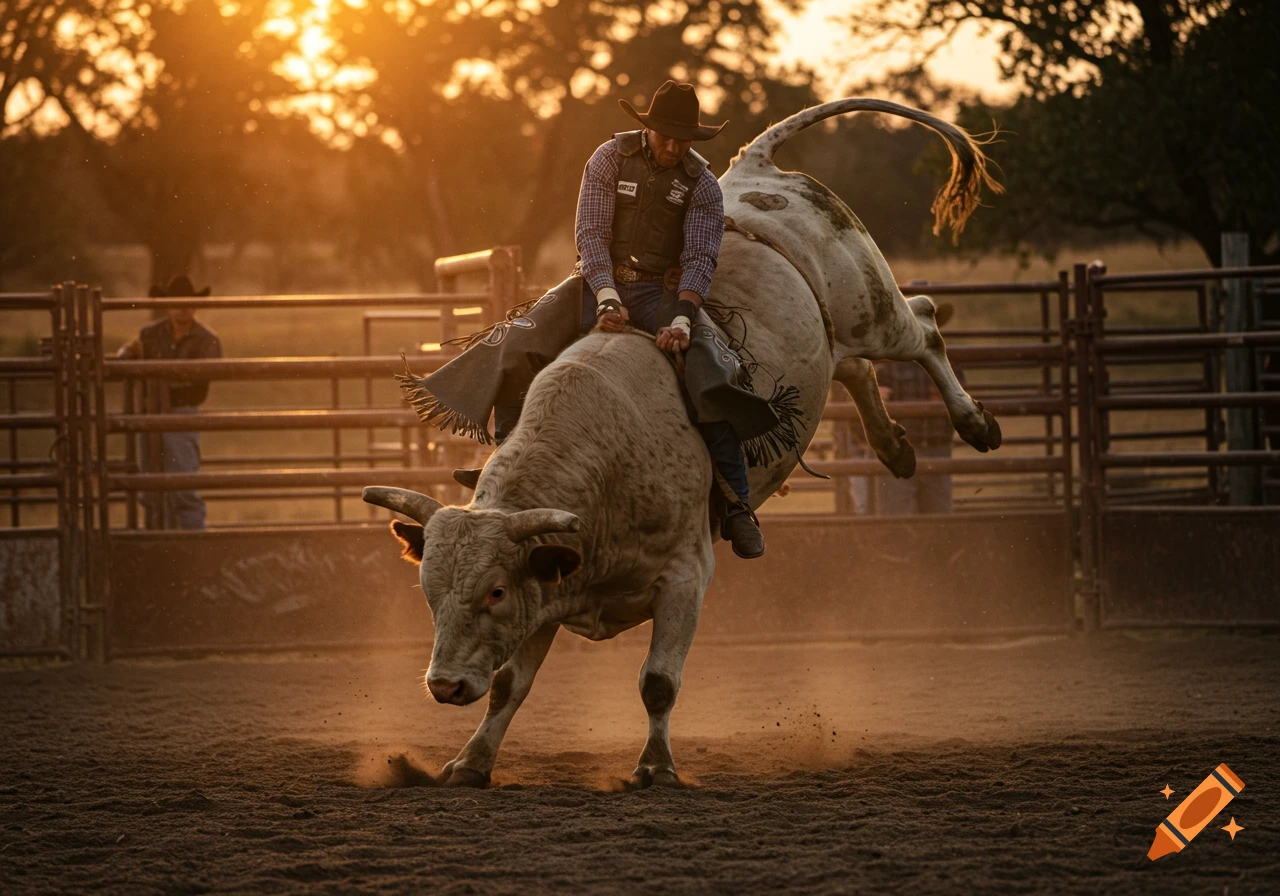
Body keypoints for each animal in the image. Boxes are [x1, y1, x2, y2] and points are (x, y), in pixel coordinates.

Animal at [363, 98, 1003, 788]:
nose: (445, 686)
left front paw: (655, 767)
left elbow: (658, 683)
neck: (603, 464)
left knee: (925, 324)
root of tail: (754, 167)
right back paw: (895, 449)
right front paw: (469, 763)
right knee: (854, 367)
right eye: (428, 591)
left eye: (495, 591)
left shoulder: (684, 580)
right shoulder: (552, 587)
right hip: (838, 337)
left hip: (872, 306)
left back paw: (976, 425)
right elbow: (511, 685)